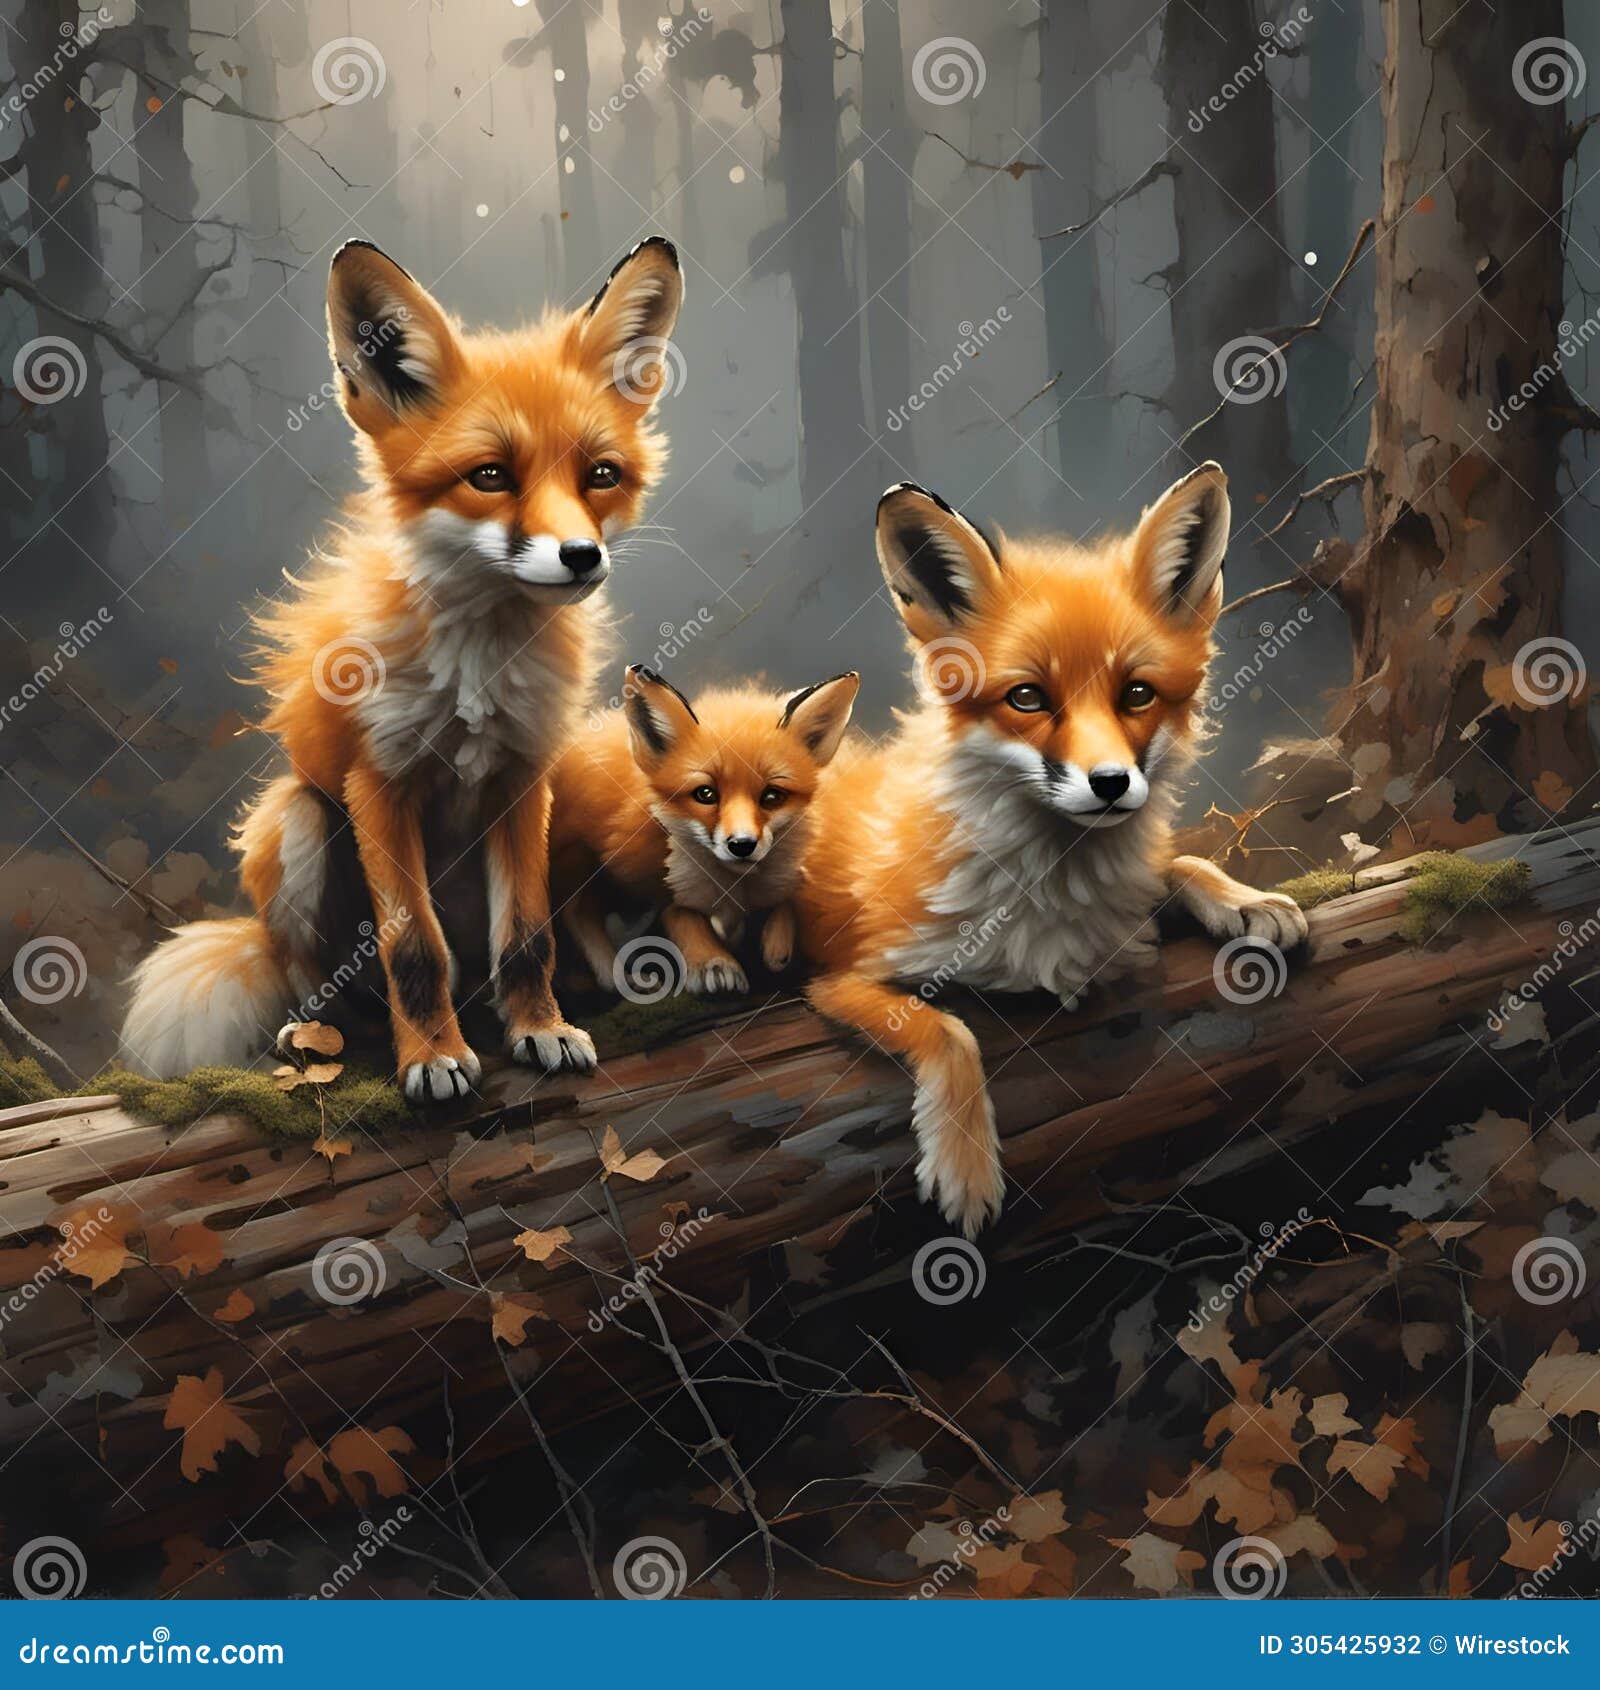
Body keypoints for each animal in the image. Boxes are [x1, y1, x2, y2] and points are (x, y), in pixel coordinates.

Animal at [120, 235, 685, 1099]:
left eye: (600, 475)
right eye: (490, 476)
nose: (582, 556)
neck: (478, 667)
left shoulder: (523, 777)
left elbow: (527, 937)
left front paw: (540, 1029)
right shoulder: (378, 783)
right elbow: (413, 948)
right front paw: (432, 1057)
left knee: (493, 959)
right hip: (297, 822)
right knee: (313, 976)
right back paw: (325, 1037)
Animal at [551, 664, 859, 994]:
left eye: (772, 796)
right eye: (705, 794)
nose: (742, 844)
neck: (731, 882)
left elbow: (784, 900)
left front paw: (776, 946)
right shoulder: (657, 874)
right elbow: (681, 915)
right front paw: (715, 962)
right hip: (588, 864)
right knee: (578, 911)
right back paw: (617, 978)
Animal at [796, 464, 1309, 1237]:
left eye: (1136, 693)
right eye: (1029, 698)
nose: (1111, 784)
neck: (1047, 890)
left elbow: (1179, 863)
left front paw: (1245, 901)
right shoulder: (843, 976)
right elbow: (948, 1031)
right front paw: (966, 1165)